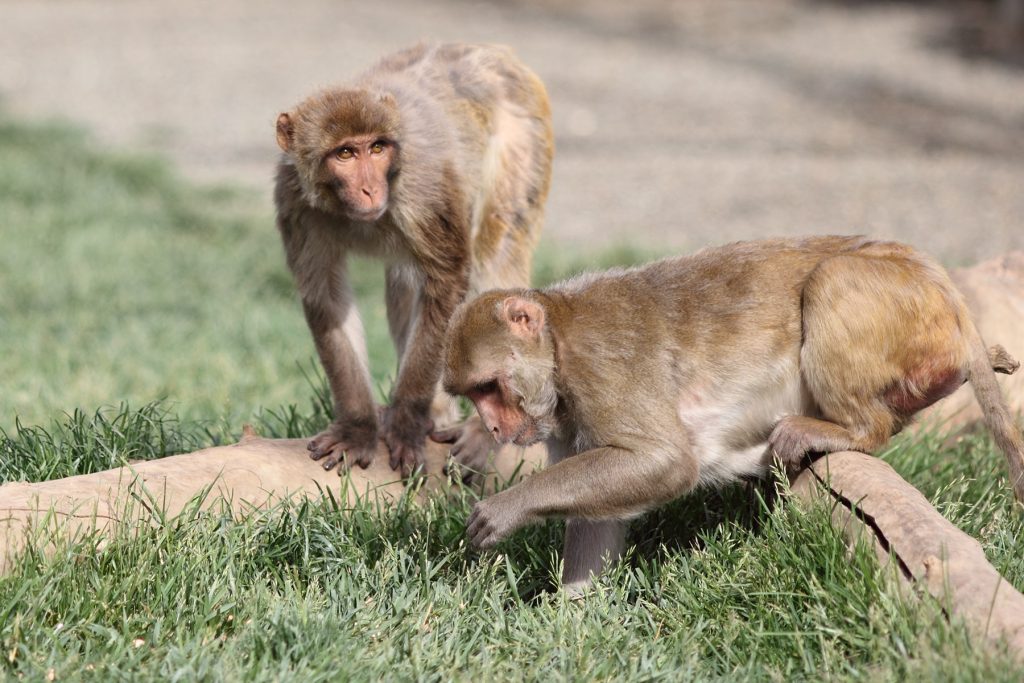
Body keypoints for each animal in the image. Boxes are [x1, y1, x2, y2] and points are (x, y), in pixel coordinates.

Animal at [274, 43, 553, 478]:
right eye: (345, 153)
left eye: (376, 148)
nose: (370, 190)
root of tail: (494, 53)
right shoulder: (294, 200)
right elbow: (327, 298)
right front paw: (358, 427)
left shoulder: (424, 190)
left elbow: (447, 279)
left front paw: (406, 423)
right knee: (404, 283)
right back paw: (437, 412)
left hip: (522, 143)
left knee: (494, 257)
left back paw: (479, 426)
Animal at [442, 236, 1024, 590]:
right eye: (474, 393)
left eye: (490, 387)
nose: (491, 424)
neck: (558, 342)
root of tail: (939, 282)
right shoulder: (566, 422)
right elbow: (598, 520)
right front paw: (572, 620)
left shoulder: (600, 368)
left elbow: (666, 462)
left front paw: (508, 507)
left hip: (896, 305)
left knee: (832, 282)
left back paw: (854, 430)